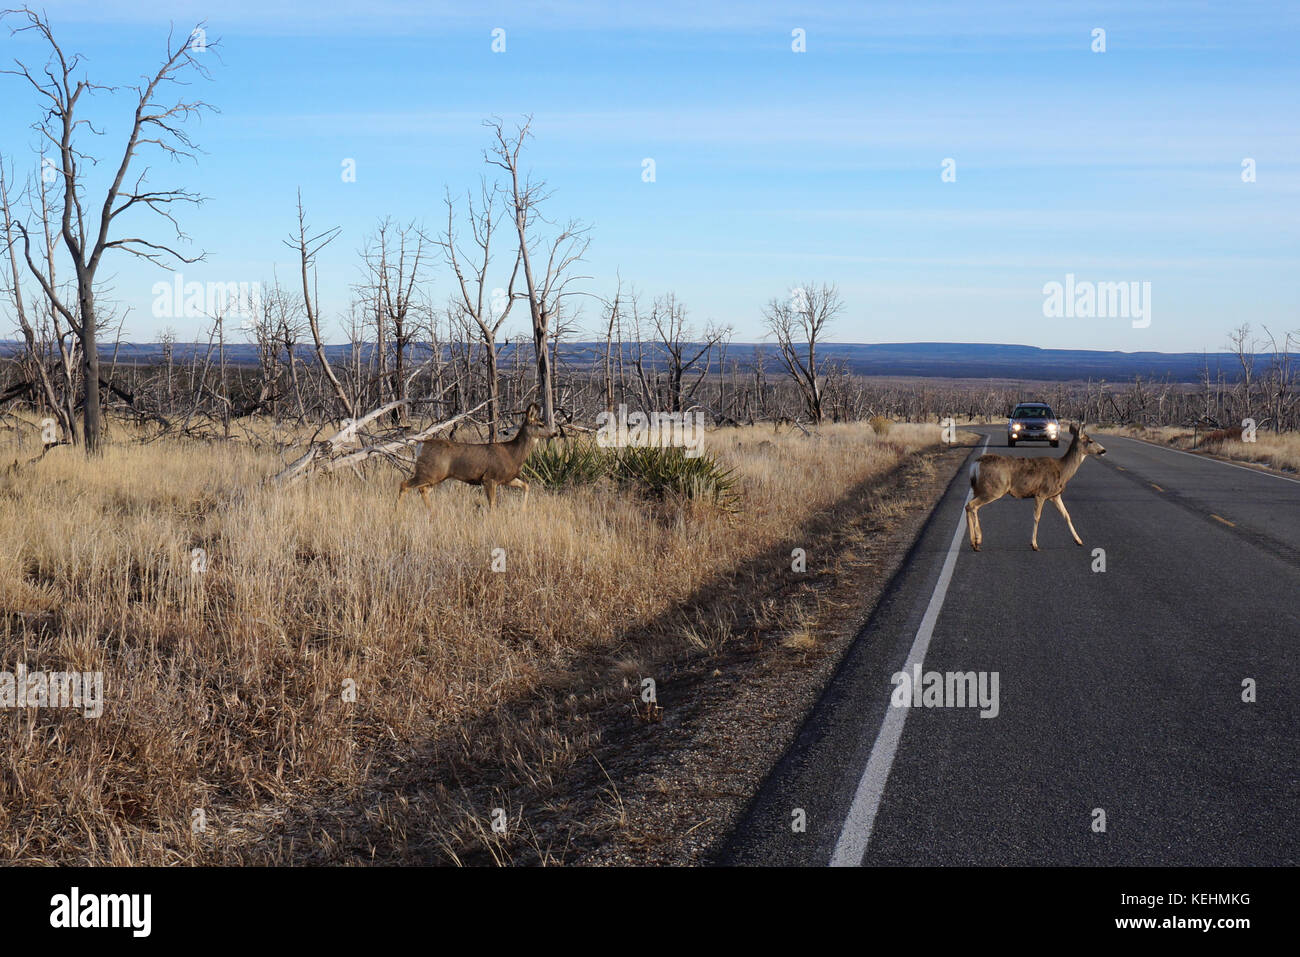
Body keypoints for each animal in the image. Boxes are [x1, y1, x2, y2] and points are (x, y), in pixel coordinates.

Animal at [397, 403, 553, 513]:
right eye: (540, 424)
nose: (555, 433)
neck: (513, 453)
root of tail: (420, 445)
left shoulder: (507, 478)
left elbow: (526, 486)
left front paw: (523, 510)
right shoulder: (489, 478)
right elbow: (492, 504)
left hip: (435, 476)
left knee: (422, 490)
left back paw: (432, 513)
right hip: (430, 472)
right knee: (404, 484)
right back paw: (398, 512)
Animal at [965, 422, 1106, 552]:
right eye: (1090, 440)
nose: (1104, 450)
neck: (1062, 470)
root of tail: (975, 464)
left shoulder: (1055, 495)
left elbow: (1066, 515)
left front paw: (1079, 540)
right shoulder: (1041, 493)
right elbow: (1037, 517)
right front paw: (1034, 544)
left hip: (978, 489)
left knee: (968, 506)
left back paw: (974, 542)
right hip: (994, 488)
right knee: (973, 506)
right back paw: (977, 541)